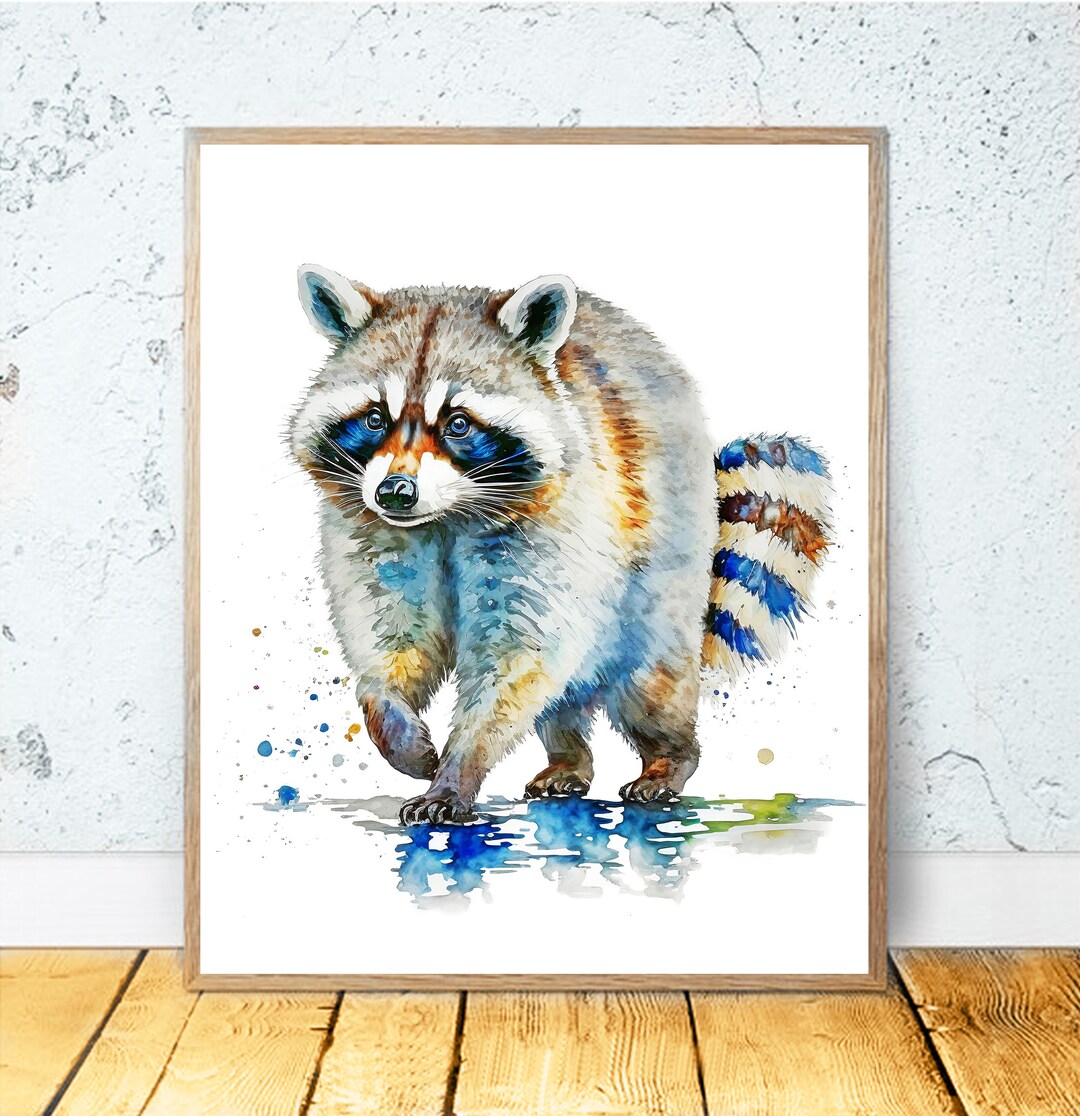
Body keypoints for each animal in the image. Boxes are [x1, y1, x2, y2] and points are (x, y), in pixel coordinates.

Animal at [289, 265, 832, 825]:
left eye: (458, 423)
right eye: (375, 418)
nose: (395, 492)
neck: (445, 518)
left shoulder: (556, 531)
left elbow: (515, 658)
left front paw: (460, 767)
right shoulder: (376, 537)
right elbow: (392, 639)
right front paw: (394, 726)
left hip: (666, 557)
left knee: (648, 677)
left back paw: (670, 757)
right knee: (562, 693)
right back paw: (569, 755)